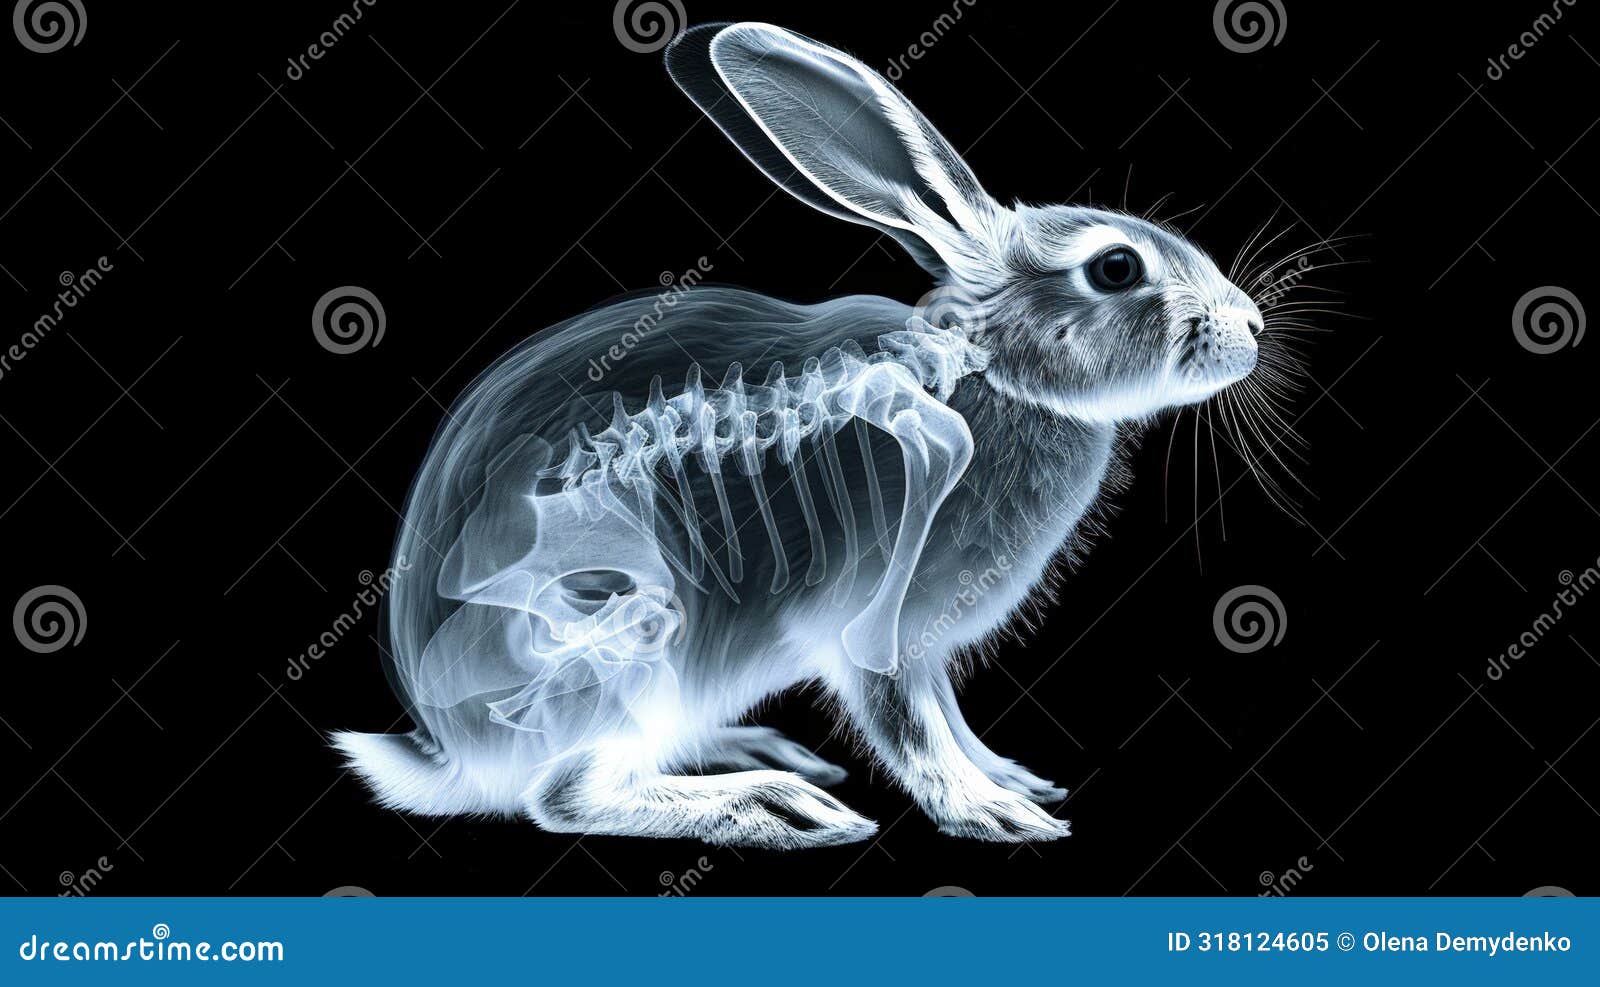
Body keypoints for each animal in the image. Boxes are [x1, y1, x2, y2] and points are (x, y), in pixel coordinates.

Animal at [332, 21, 1265, 848]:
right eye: (1117, 267)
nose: (1252, 329)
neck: (987, 370)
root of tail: (453, 754)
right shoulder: (874, 628)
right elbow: (909, 723)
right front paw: (994, 814)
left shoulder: (930, 648)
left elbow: (951, 716)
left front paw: (1011, 777)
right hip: (623, 630)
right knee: (567, 793)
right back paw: (775, 804)